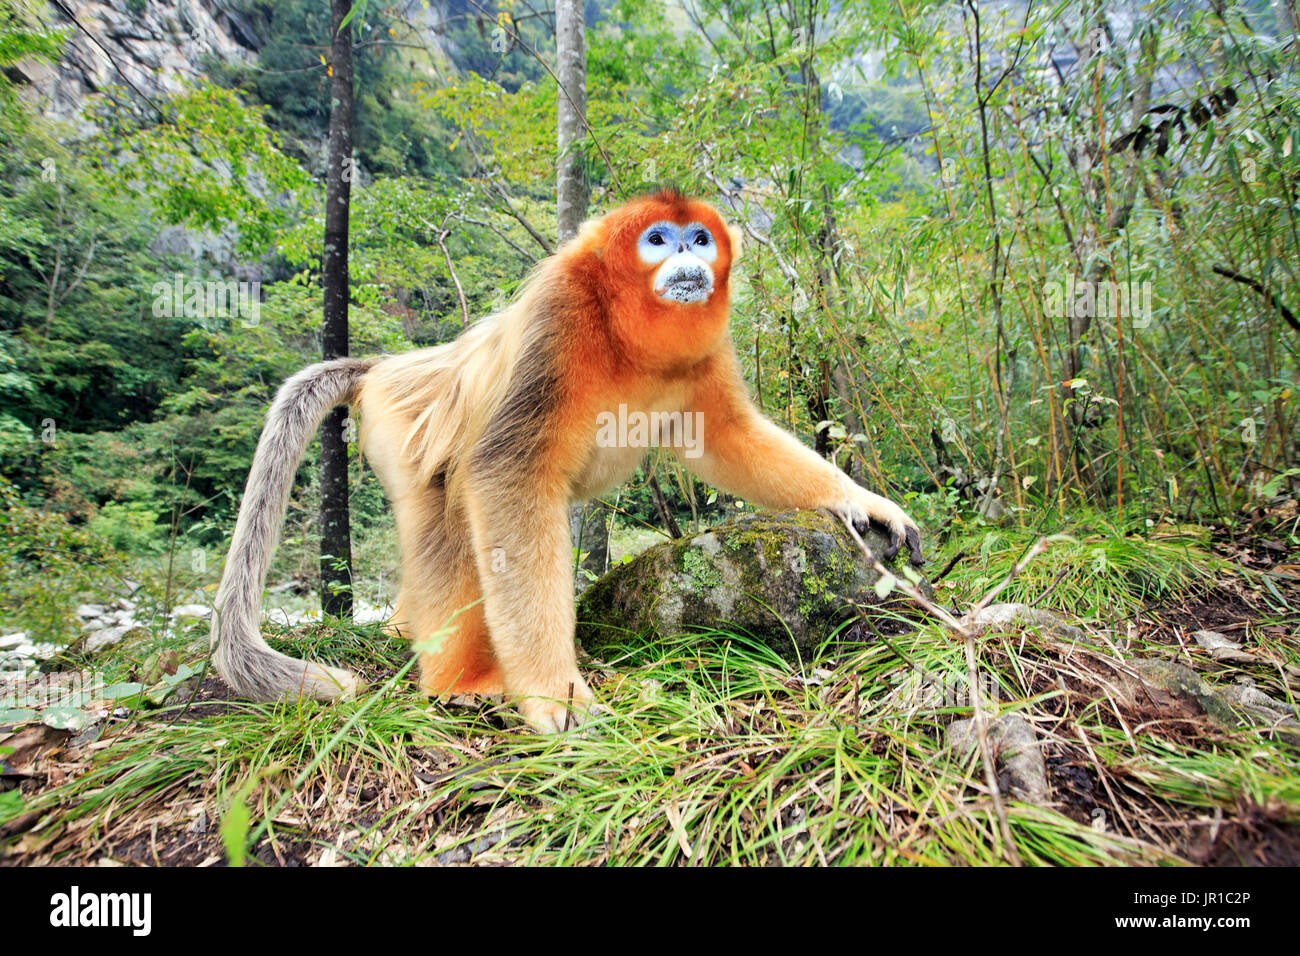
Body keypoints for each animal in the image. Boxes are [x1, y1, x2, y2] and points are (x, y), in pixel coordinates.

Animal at [210, 188, 924, 734]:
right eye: (658, 239)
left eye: (700, 238)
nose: (687, 256)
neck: (624, 332)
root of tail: (389, 368)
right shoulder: (558, 315)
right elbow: (505, 471)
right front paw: (554, 695)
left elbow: (725, 439)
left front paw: (863, 502)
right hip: (399, 426)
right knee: (447, 503)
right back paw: (456, 678)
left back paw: (402, 631)